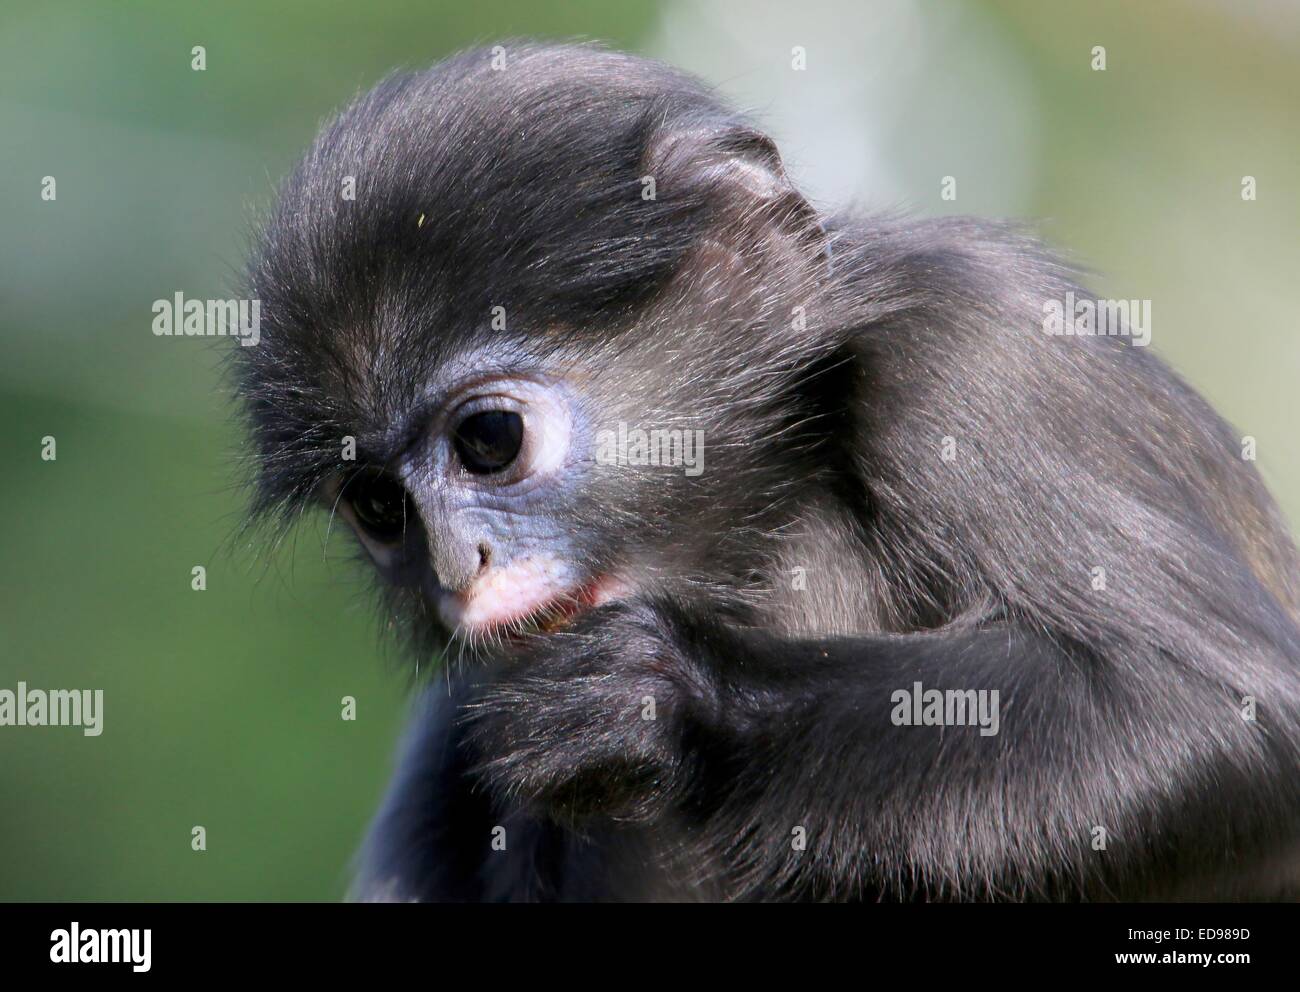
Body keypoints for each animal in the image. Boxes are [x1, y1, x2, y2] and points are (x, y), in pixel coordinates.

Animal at [234, 42, 1300, 901]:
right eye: (379, 507)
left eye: (490, 440)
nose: (460, 569)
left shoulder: (978, 340)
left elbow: (1224, 720)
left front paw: (669, 700)